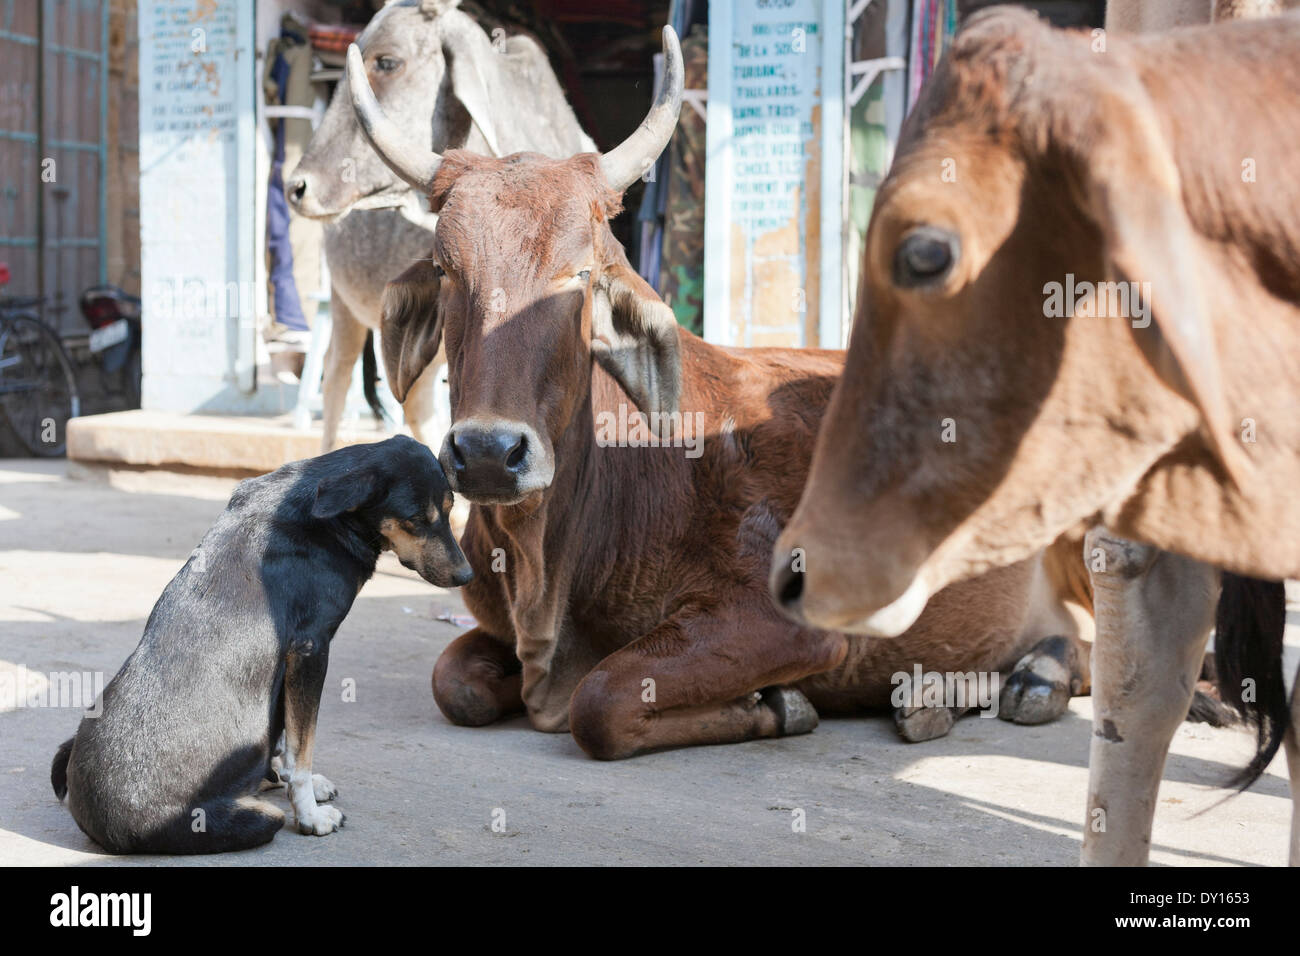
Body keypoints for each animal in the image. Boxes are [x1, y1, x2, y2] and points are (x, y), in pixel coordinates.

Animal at [344, 27, 1111, 756]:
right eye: (445, 269)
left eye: (581, 273)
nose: (487, 453)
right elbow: (455, 683)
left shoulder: (785, 621)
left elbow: (602, 699)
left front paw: (780, 705)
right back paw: (939, 694)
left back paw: (1028, 681)